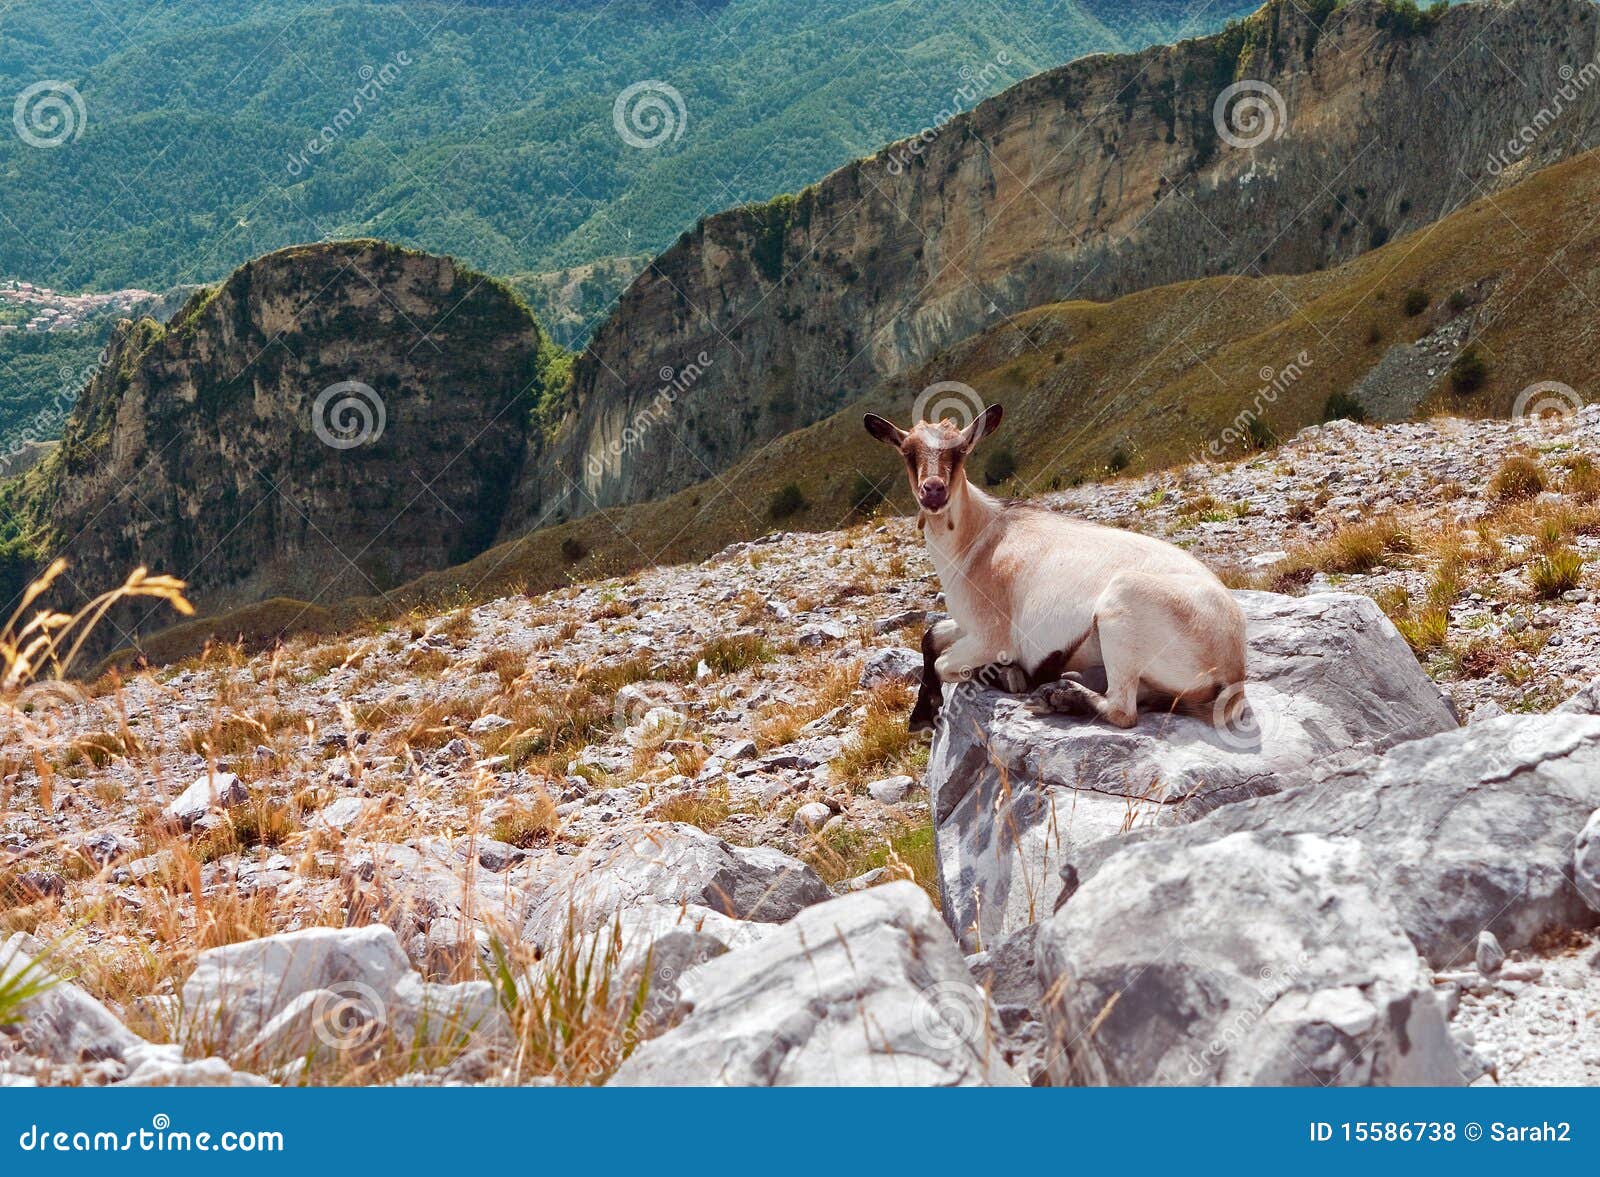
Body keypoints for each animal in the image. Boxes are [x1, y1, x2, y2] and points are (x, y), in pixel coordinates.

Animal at [864, 404, 1247, 732]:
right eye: (907, 452)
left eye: (960, 451)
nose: (933, 491)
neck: (979, 539)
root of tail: (1234, 669)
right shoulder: (966, 623)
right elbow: (930, 638)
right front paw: (920, 715)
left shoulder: (991, 636)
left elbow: (945, 664)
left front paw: (1008, 675)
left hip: (1123, 607)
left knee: (1123, 710)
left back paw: (1054, 694)